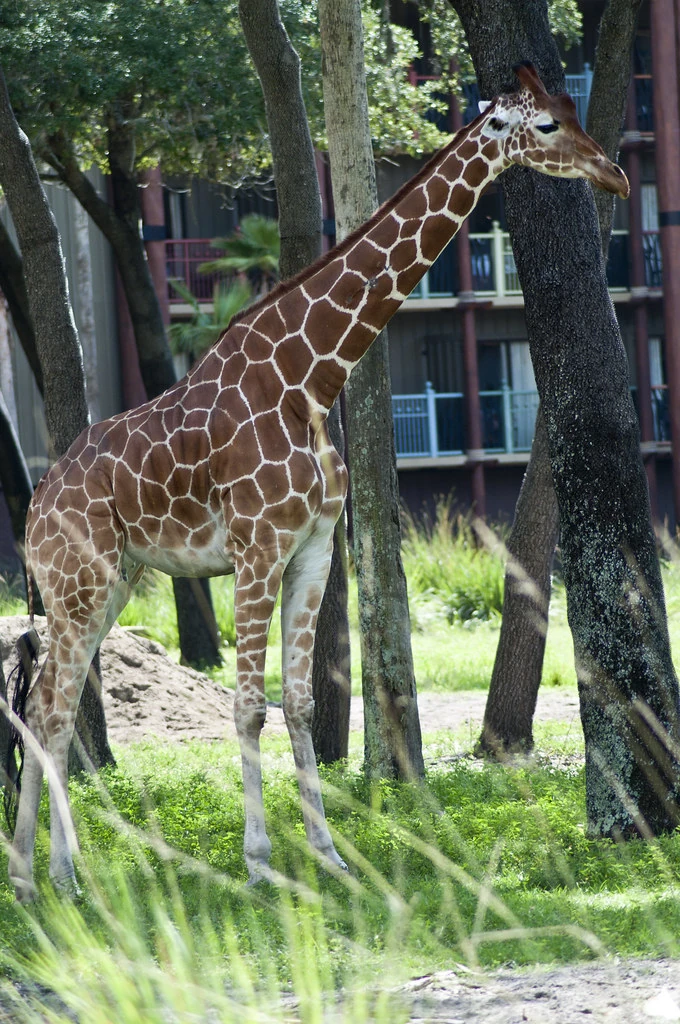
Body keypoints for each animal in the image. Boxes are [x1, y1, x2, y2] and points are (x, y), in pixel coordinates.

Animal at [6, 62, 629, 902]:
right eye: (546, 126)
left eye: (572, 106)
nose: (616, 174)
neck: (310, 377)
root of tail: (35, 506)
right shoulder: (255, 547)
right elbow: (247, 706)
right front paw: (260, 864)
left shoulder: (313, 548)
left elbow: (300, 702)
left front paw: (328, 857)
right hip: (79, 583)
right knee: (47, 708)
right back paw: (47, 880)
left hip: (111, 583)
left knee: (53, 706)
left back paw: (50, 877)